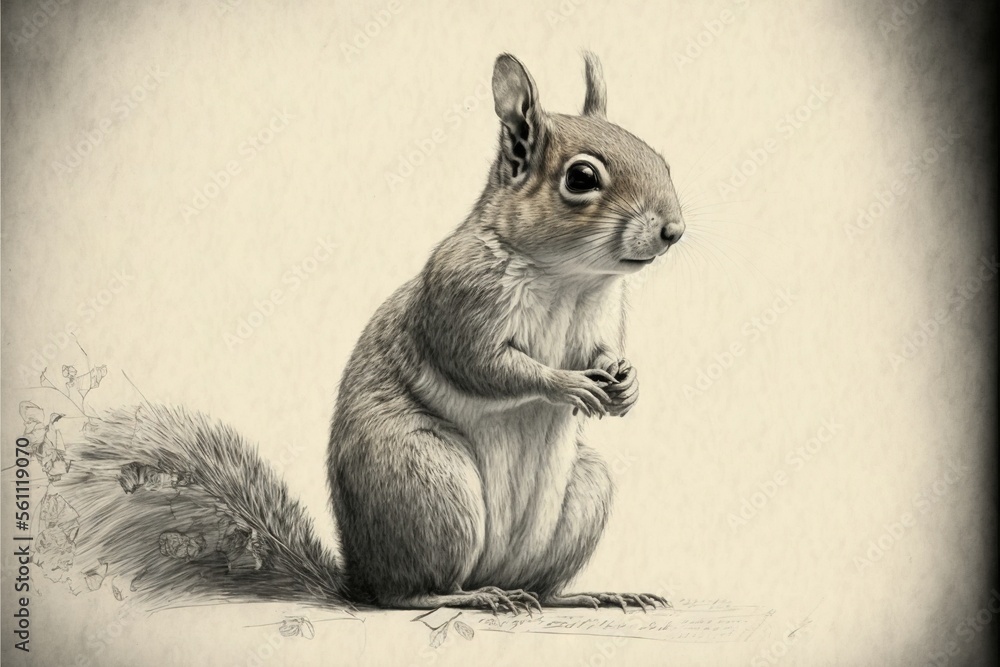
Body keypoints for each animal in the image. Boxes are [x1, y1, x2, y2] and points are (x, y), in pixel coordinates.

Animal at [52, 52, 685, 615]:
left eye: (662, 159)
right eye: (581, 178)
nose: (673, 231)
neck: (566, 278)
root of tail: (356, 576)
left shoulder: (602, 317)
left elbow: (601, 352)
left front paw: (626, 382)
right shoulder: (458, 297)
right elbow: (485, 365)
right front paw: (567, 385)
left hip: (584, 493)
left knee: (542, 586)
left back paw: (587, 594)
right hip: (428, 483)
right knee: (406, 593)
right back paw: (473, 596)